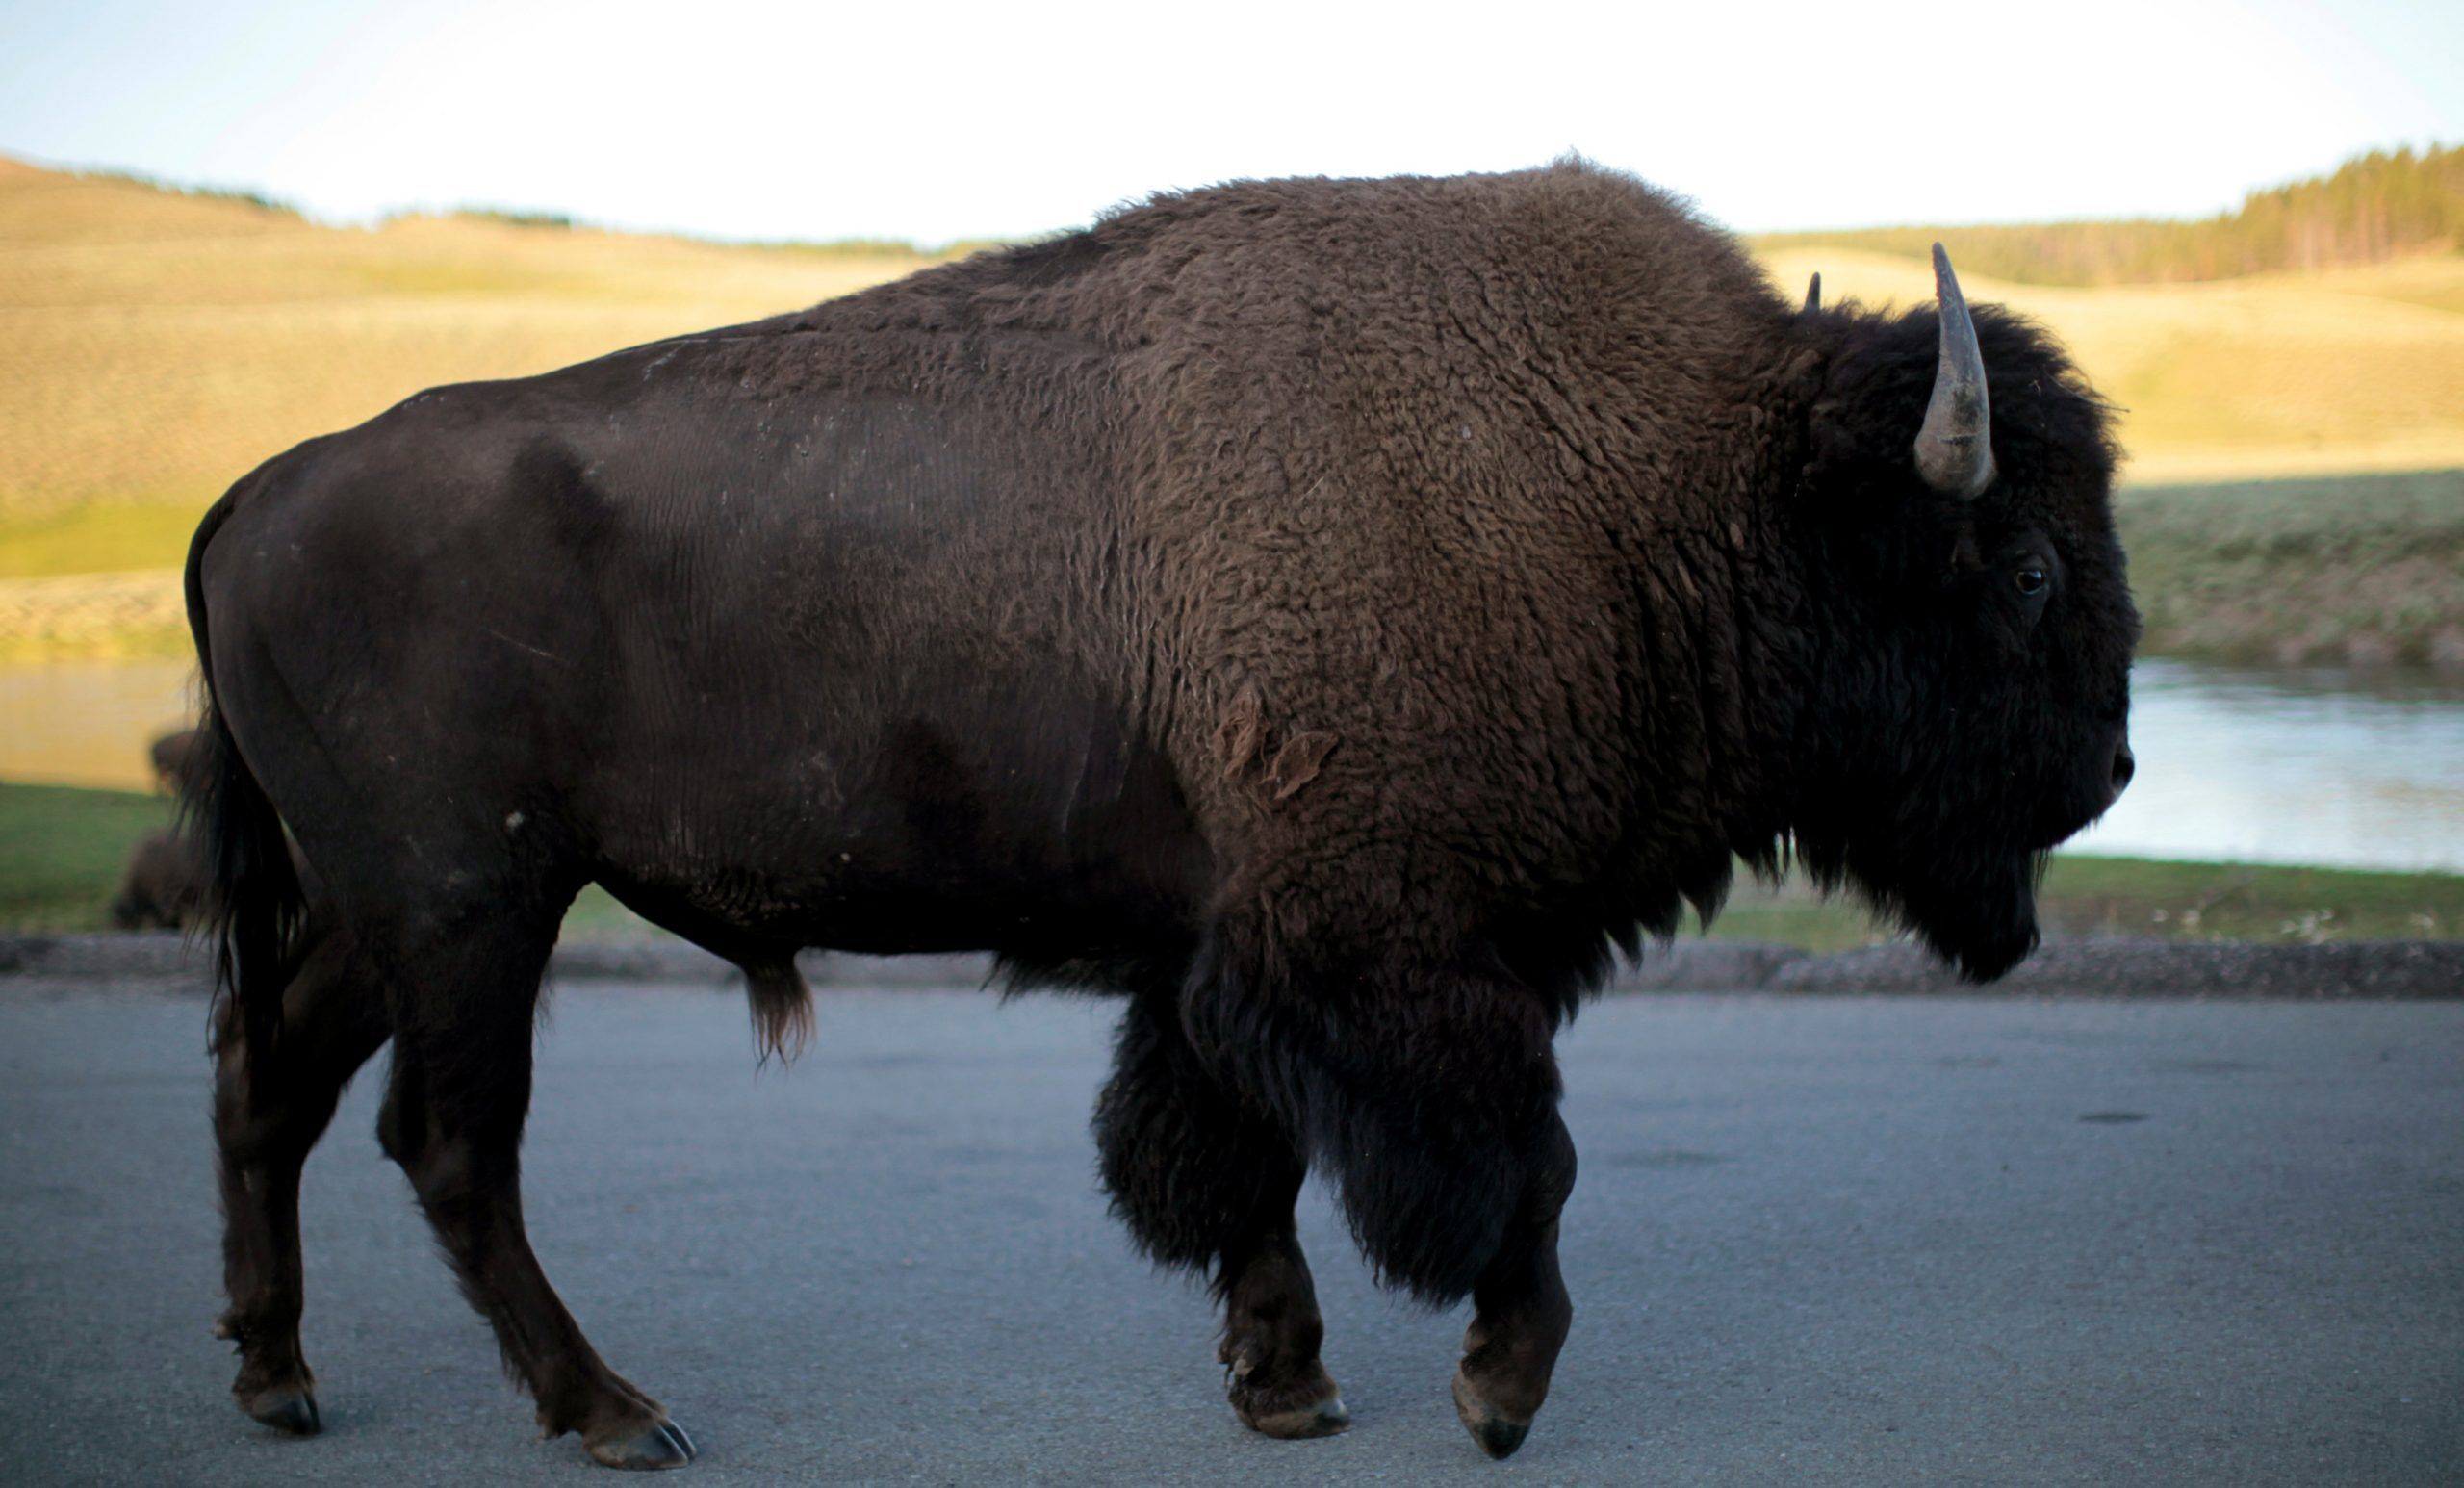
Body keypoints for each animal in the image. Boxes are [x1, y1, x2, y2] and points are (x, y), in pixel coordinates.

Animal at [185, 161, 2136, 1468]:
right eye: (2030, 565)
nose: (2111, 771)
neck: (1673, 489)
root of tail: (248, 501)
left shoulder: (1223, 955)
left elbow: (1225, 1158)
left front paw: (1289, 1383)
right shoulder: (1392, 952)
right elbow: (1520, 1163)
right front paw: (1494, 1391)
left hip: (377, 916)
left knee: (274, 1091)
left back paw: (279, 1377)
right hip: (471, 913)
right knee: (450, 1147)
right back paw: (613, 1413)